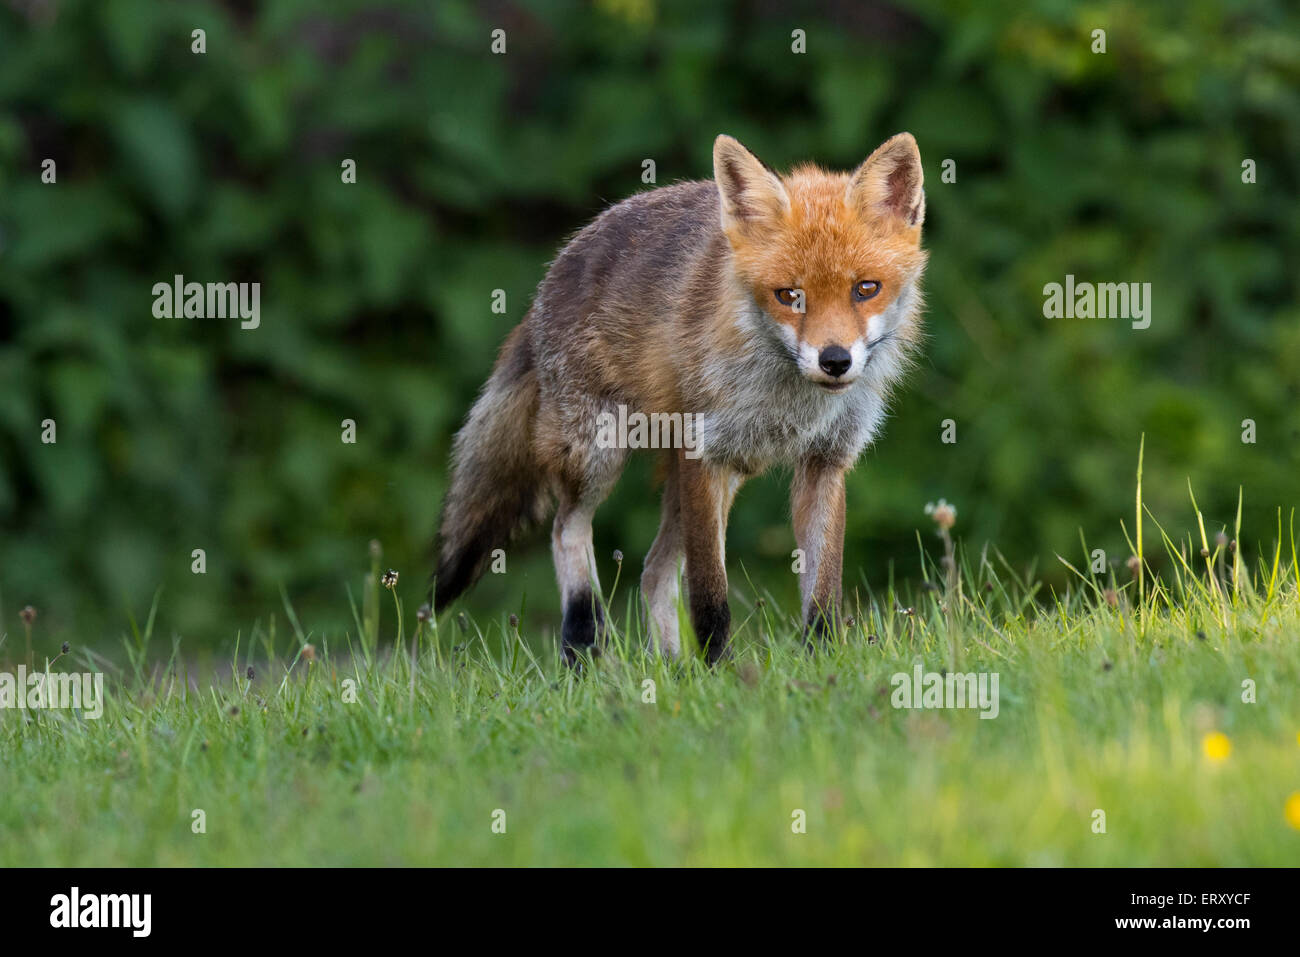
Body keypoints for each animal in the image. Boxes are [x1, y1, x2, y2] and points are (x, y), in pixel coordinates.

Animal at [432, 132, 928, 665]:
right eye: (789, 295)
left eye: (866, 289)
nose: (835, 360)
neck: (792, 403)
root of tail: (553, 272)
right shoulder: (702, 455)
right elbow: (710, 594)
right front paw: (717, 670)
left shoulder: (826, 460)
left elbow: (822, 591)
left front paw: (820, 660)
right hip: (598, 455)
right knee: (567, 530)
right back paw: (582, 646)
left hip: (723, 477)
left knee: (652, 570)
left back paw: (669, 666)